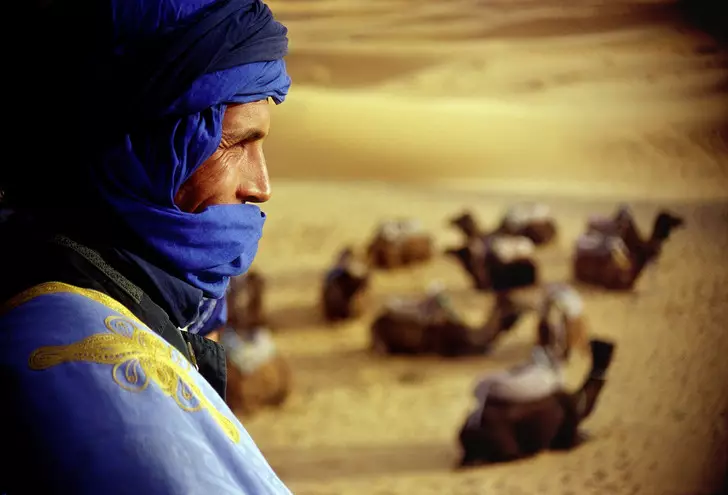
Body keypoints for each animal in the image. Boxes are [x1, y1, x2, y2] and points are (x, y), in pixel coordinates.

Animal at [458, 340, 616, 466]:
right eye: (596, 348)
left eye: (609, 349)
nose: (602, 365)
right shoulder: (569, 437)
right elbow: (579, 439)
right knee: (510, 455)